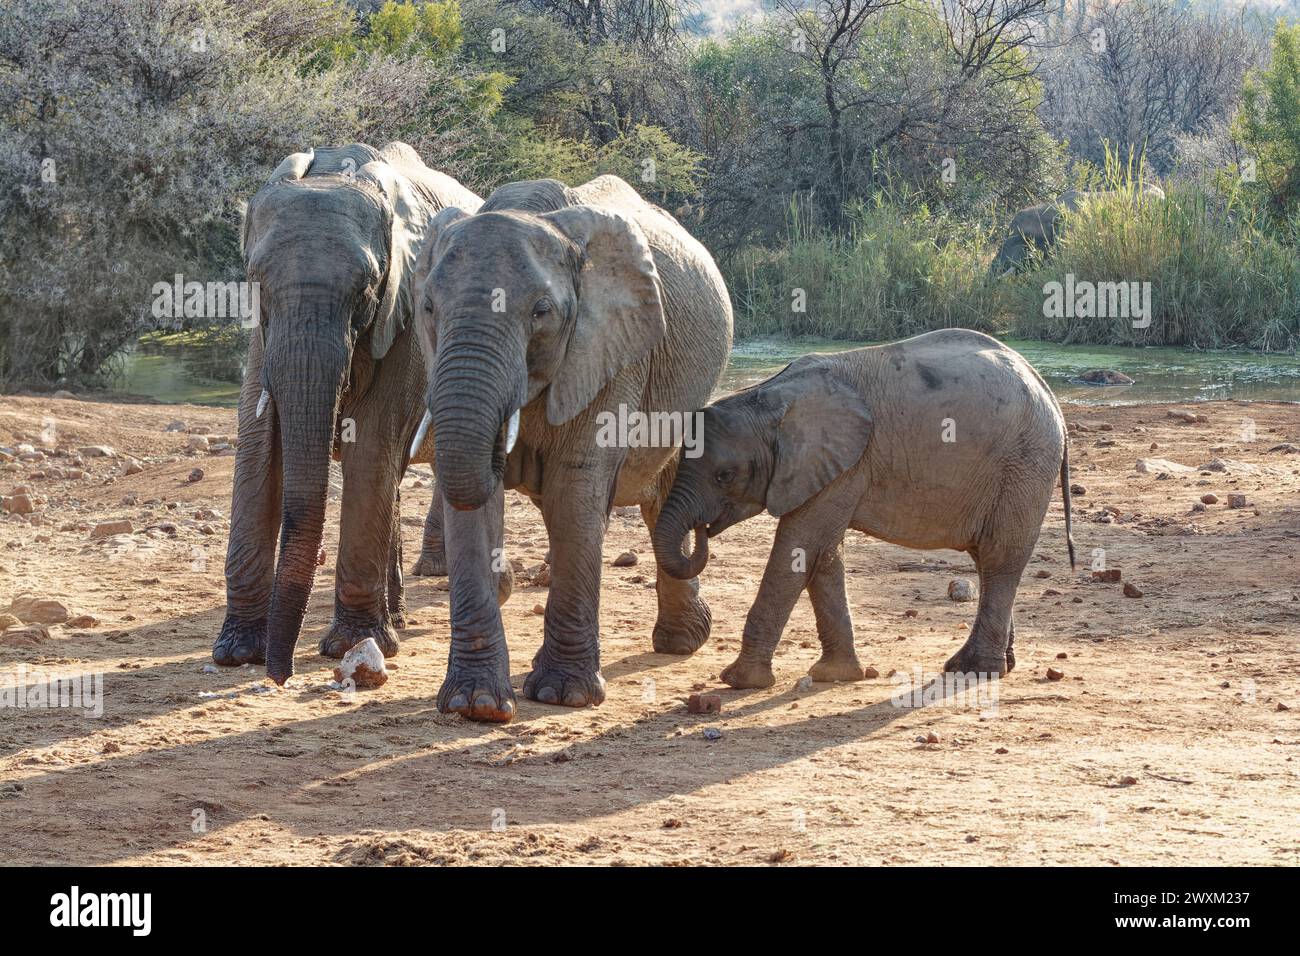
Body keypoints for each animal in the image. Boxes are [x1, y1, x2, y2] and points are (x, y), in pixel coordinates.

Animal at [212, 141, 484, 684]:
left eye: (367, 287)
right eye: (256, 282)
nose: (279, 675)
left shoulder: (405, 319)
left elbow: (371, 445)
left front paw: (346, 647)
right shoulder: (261, 339)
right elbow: (258, 446)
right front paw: (235, 653)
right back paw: (394, 617)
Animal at [409, 175, 734, 722]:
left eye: (541, 312)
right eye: (428, 307)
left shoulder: (612, 348)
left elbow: (575, 491)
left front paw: (564, 696)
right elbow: (478, 502)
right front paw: (476, 706)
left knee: (662, 489)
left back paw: (681, 644)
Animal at [652, 328, 1076, 689]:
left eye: (724, 476)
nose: (702, 530)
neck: (768, 397)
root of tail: (1046, 389)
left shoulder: (843, 466)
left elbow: (798, 548)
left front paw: (739, 682)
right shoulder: (833, 470)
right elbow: (822, 554)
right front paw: (836, 675)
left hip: (1024, 465)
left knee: (1000, 558)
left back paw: (973, 670)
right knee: (987, 560)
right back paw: (998, 665)